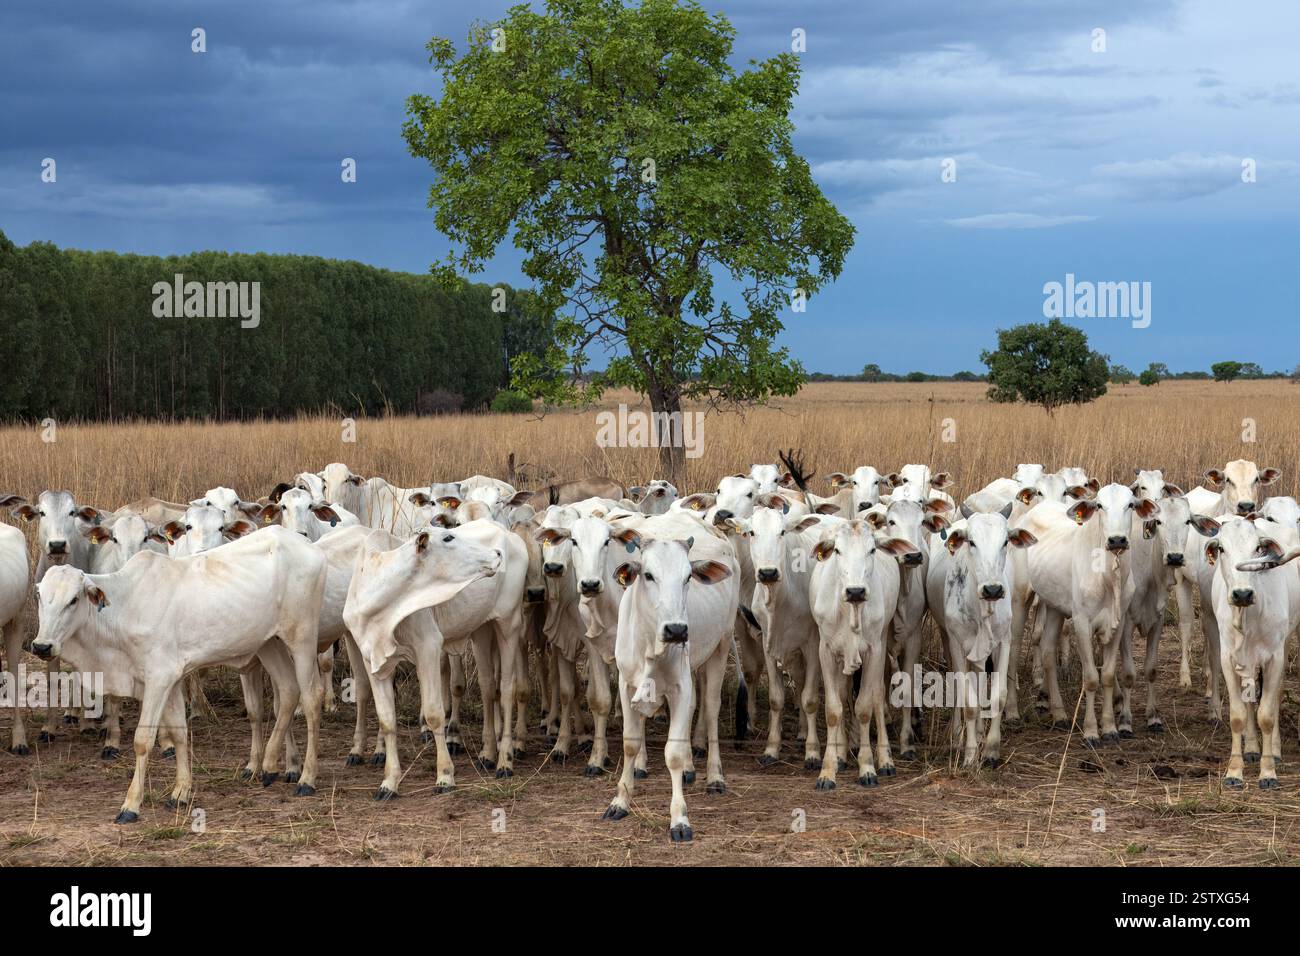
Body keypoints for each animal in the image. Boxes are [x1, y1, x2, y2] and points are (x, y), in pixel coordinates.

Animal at [31, 525, 328, 822]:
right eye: (40, 597)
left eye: (73, 600)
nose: (42, 646)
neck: (124, 608)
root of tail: (305, 544)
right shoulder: (171, 680)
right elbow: (179, 733)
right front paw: (180, 793)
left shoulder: (158, 679)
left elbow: (143, 740)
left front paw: (131, 804)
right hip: (269, 643)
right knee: (288, 691)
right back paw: (268, 765)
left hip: (302, 638)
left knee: (311, 698)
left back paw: (306, 778)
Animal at [601, 513, 739, 842]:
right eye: (648, 575)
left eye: (688, 577)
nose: (677, 630)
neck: (651, 645)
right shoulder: (626, 685)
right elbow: (630, 743)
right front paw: (620, 801)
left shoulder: (680, 686)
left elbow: (672, 753)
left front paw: (679, 819)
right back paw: (690, 769)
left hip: (721, 645)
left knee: (710, 709)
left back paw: (714, 776)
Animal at [808, 517, 919, 789]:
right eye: (838, 550)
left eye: (872, 550)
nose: (856, 591)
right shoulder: (826, 651)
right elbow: (834, 709)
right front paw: (828, 770)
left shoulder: (874, 652)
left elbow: (865, 708)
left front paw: (868, 767)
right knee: (843, 691)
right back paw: (840, 755)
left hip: (881, 645)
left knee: (878, 696)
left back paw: (886, 759)